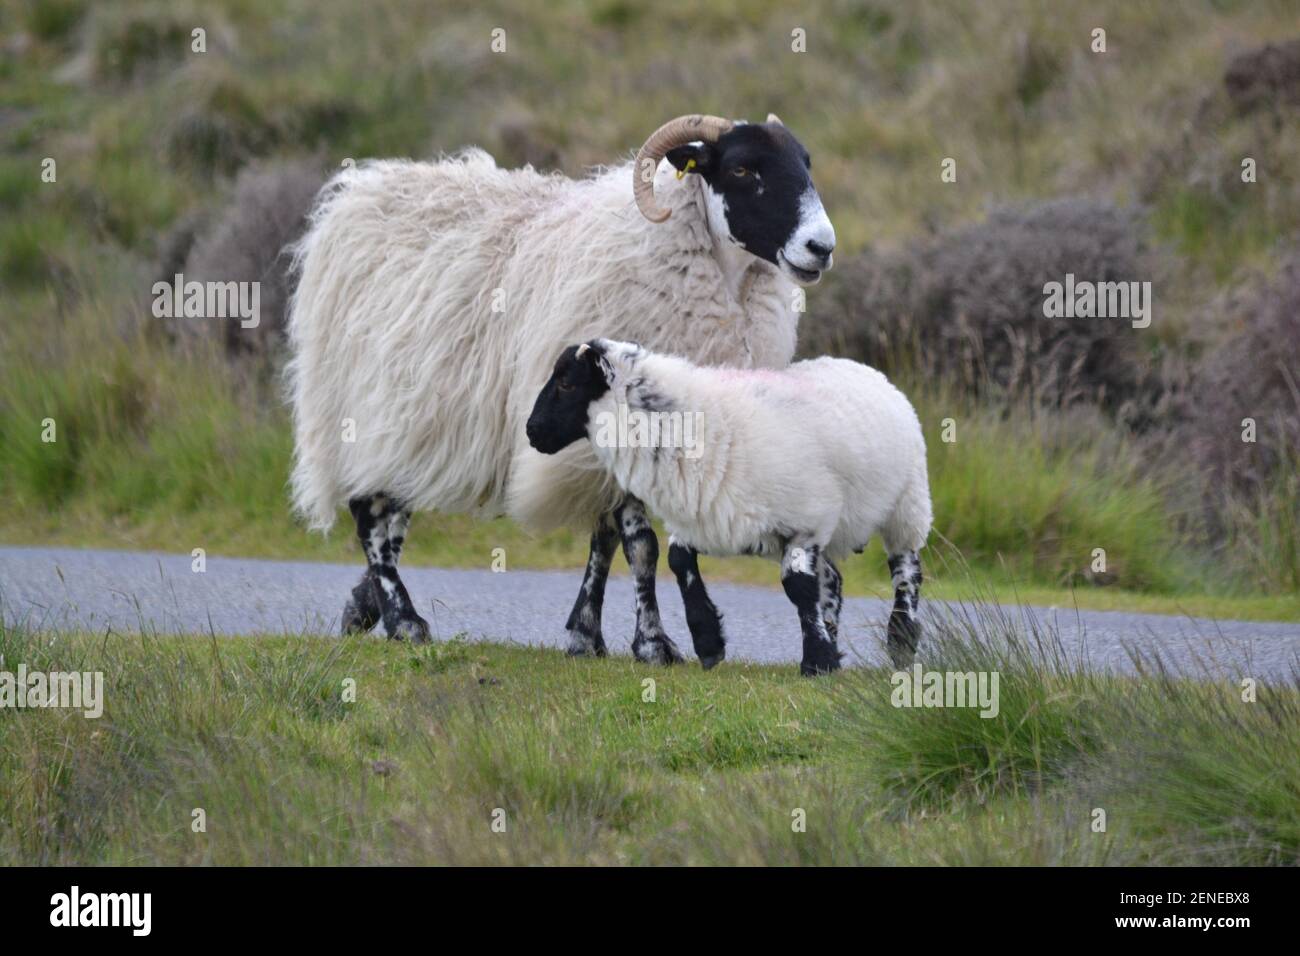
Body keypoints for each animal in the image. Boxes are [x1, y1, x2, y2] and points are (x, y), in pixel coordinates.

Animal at [285, 114, 837, 659]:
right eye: (743, 169)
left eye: (806, 163)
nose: (822, 247)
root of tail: (359, 192)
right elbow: (640, 543)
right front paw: (652, 643)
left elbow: (605, 540)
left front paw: (585, 633)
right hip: (362, 409)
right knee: (368, 513)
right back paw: (404, 620)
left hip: (414, 425)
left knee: (392, 516)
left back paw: (365, 608)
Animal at [525, 338, 932, 675]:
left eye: (566, 383)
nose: (532, 431)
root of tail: (864, 368)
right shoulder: (703, 514)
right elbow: (680, 562)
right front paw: (708, 643)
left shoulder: (807, 518)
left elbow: (798, 586)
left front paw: (817, 661)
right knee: (832, 578)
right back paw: (834, 635)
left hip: (907, 503)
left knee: (906, 570)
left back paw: (900, 641)